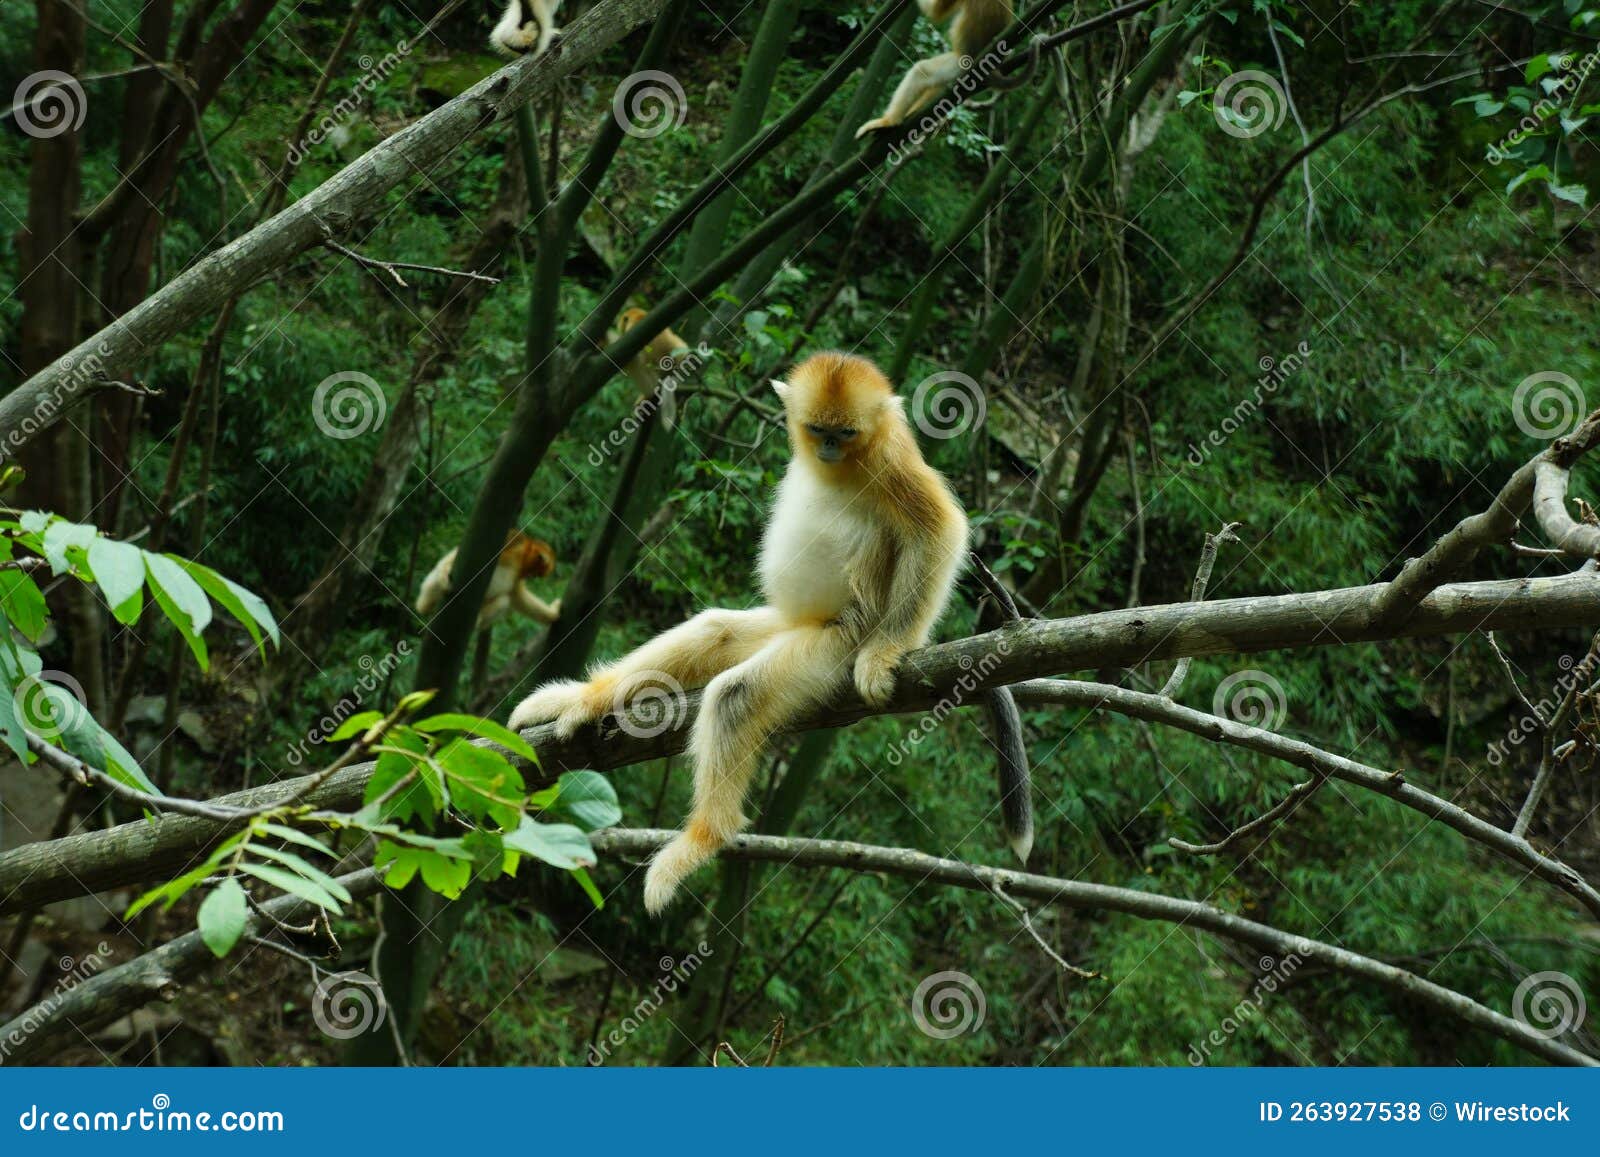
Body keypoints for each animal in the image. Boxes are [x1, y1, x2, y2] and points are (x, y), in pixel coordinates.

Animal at [416, 530, 560, 630]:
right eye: (534, 573)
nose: (530, 577)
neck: (520, 558)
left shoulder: (517, 575)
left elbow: (518, 598)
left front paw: (553, 614)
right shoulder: (512, 541)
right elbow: (454, 556)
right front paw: (444, 578)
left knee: (503, 601)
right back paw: (427, 607)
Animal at [509, 352, 970, 912]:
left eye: (846, 432)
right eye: (817, 429)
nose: (828, 448)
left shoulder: (891, 458)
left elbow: (940, 530)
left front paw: (887, 653)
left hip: (831, 645)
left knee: (736, 694)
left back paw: (703, 837)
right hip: (782, 627)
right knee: (714, 631)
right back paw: (585, 700)